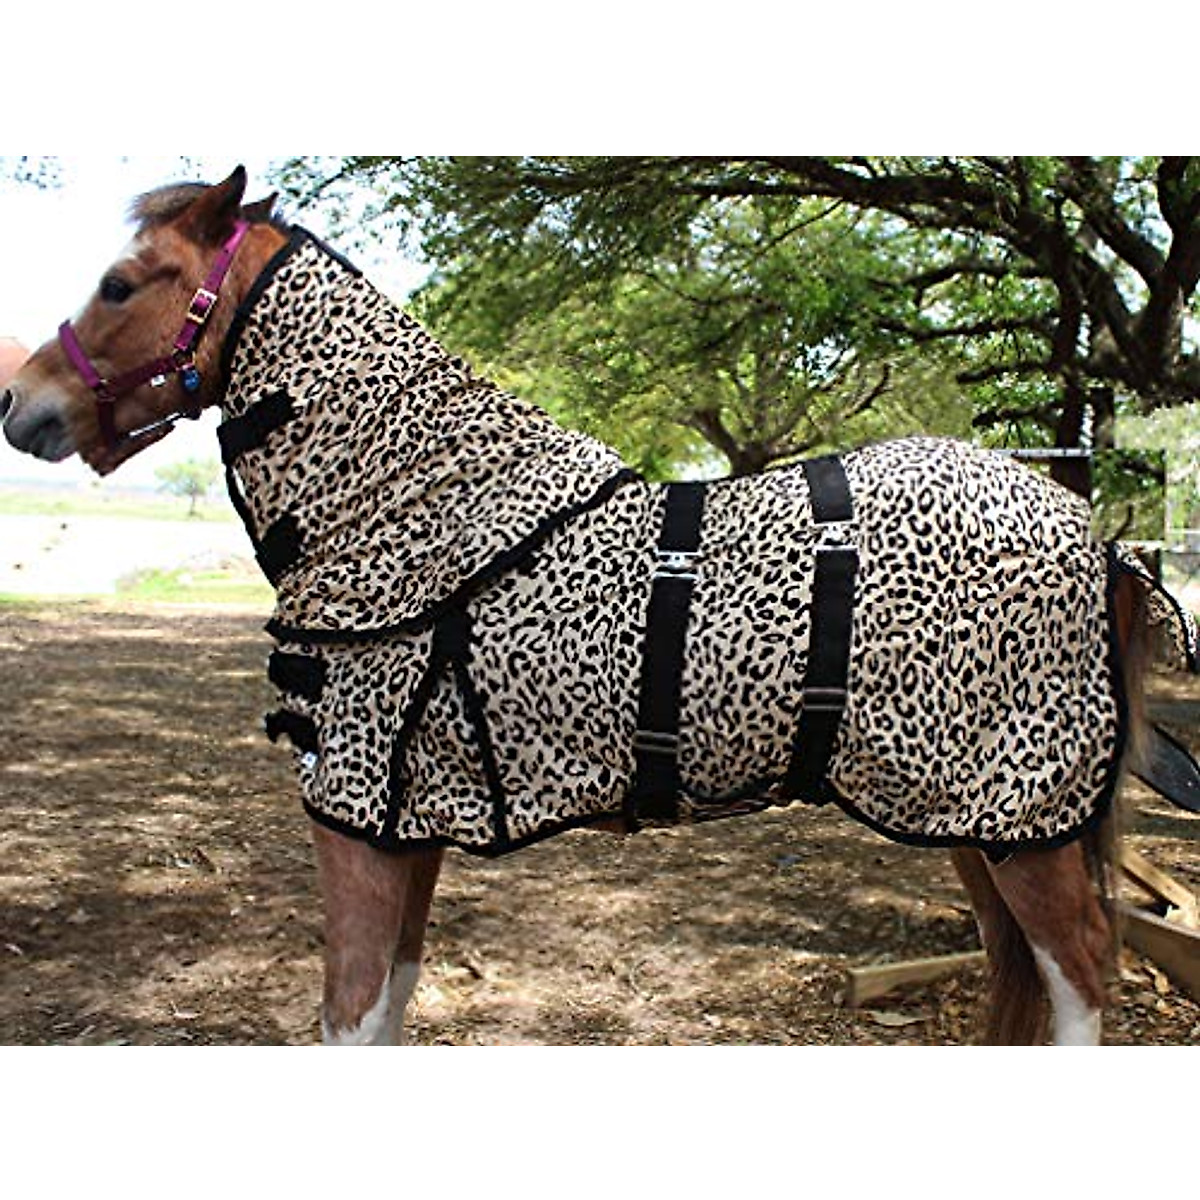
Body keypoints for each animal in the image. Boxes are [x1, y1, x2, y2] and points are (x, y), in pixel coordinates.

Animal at [0, 167, 1172, 1046]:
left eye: (119, 284)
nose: (22, 403)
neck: (413, 500)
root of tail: (1094, 532)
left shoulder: (356, 823)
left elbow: (350, 1015)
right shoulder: (407, 827)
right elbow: (393, 1003)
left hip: (1021, 822)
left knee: (1081, 974)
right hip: (973, 822)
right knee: (1024, 971)